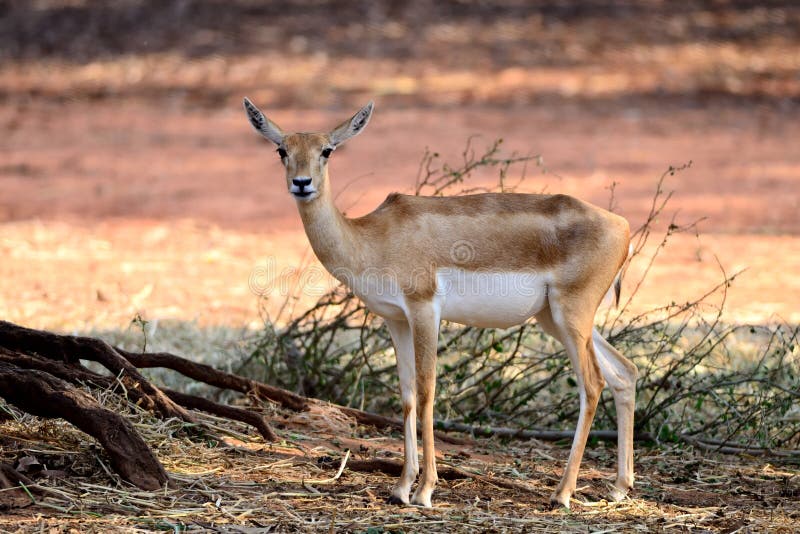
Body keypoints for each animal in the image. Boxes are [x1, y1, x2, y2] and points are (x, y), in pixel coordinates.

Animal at [242, 98, 636, 512]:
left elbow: (427, 389)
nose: (302, 184)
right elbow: (406, 395)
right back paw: (618, 487)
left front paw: (425, 490)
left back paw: (562, 493)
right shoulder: (396, 320)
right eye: (282, 150)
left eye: (327, 150)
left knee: (592, 383)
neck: (373, 237)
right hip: (556, 320)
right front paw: (401, 487)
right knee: (624, 373)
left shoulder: (424, 309)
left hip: (571, 316)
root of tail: (623, 227)